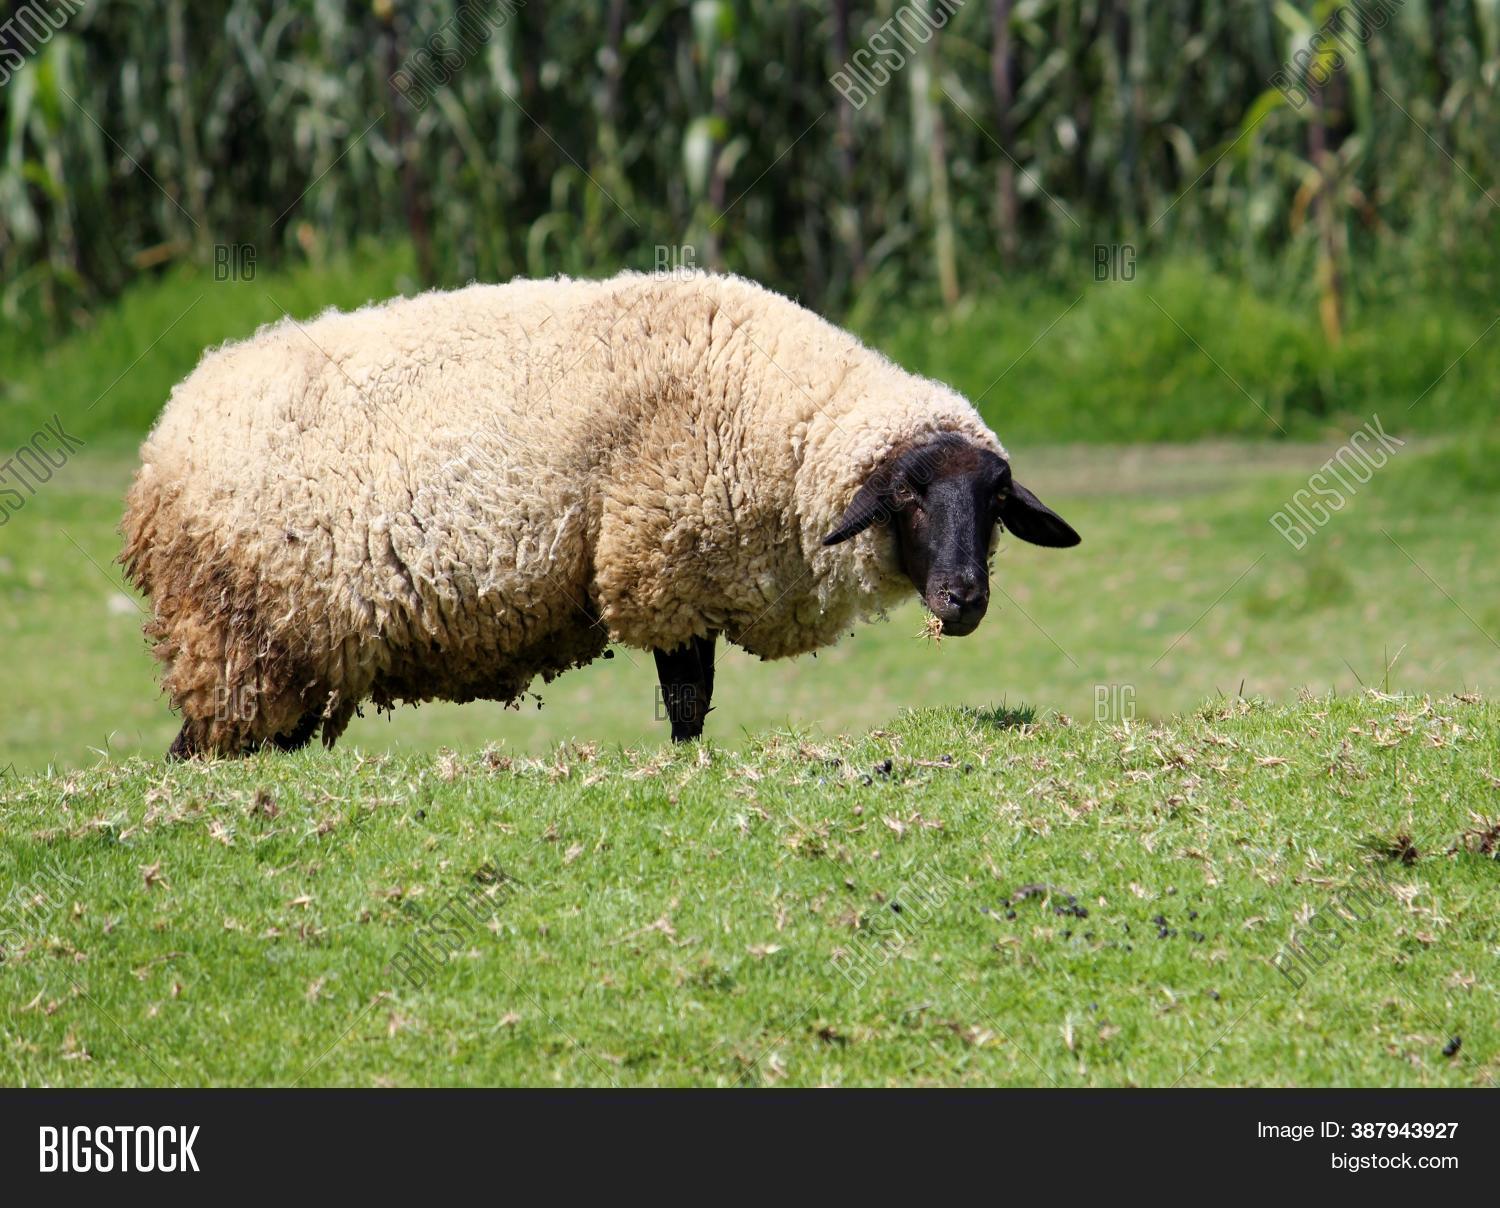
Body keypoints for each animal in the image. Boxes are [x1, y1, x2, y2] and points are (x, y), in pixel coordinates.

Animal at [120, 270, 1079, 755]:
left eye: (996, 503)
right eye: (909, 494)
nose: (963, 599)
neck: (780, 414)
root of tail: (169, 431)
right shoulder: (665, 562)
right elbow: (688, 702)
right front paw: (687, 767)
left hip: (290, 654)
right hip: (242, 637)